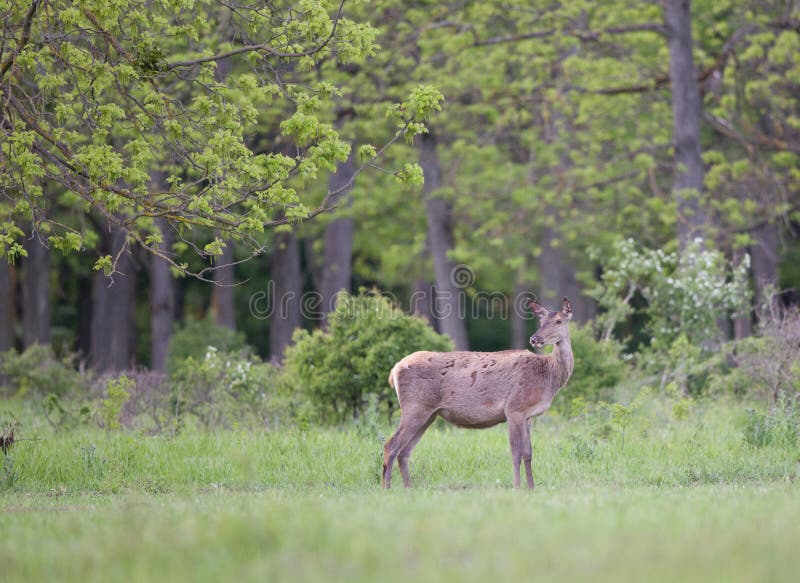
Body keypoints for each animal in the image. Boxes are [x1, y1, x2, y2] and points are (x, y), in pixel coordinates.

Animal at [382, 297, 574, 490]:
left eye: (559, 321)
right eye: (541, 321)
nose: (535, 339)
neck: (548, 377)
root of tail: (394, 370)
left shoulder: (528, 415)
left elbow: (528, 454)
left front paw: (531, 488)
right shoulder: (514, 408)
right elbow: (516, 453)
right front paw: (517, 487)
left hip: (429, 414)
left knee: (404, 451)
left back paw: (408, 488)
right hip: (415, 407)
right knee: (391, 446)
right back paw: (387, 488)